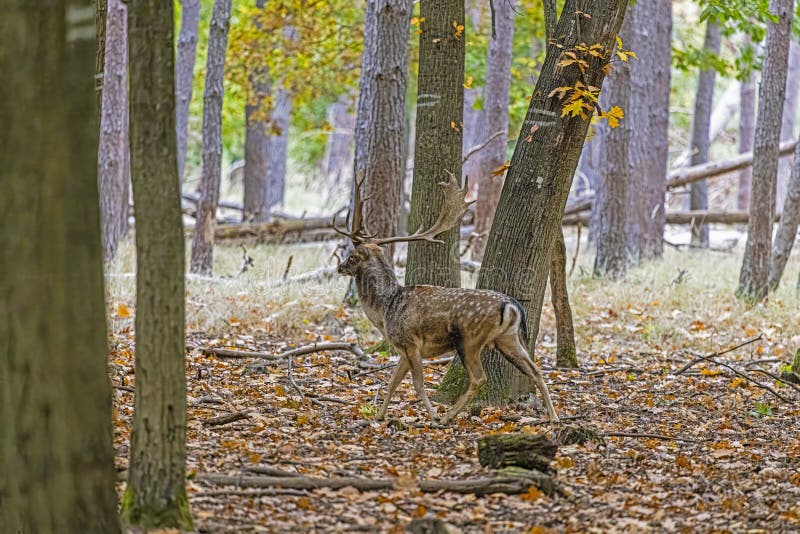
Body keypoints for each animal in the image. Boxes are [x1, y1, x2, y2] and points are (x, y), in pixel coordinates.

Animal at [333, 171, 559, 425]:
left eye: (352, 256)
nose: (340, 267)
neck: (386, 309)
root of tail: (510, 305)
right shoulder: (403, 349)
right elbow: (392, 382)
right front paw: (379, 416)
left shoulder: (410, 342)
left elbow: (418, 384)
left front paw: (431, 414)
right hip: (508, 339)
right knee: (535, 369)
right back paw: (554, 417)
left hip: (469, 339)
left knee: (479, 377)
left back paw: (447, 417)